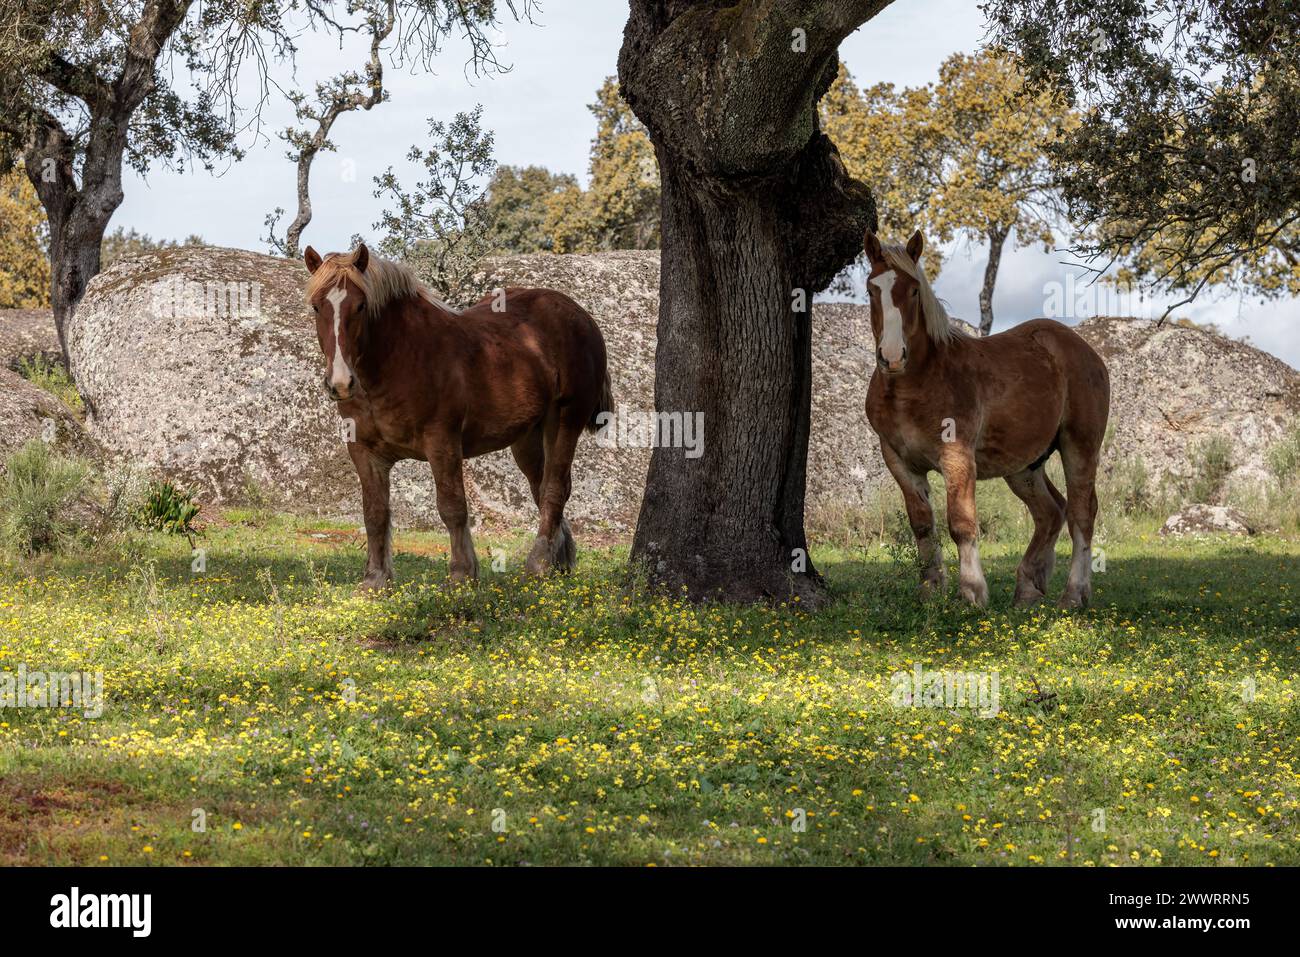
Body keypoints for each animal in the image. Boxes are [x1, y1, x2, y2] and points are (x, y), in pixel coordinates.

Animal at [302, 243, 612, 591]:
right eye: (316, 307)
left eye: (360, 306)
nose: (341, 383)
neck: (399, 358)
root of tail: (580, 316)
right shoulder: (364, 451)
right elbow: (375, 512)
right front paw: (375, 579)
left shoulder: (442, 442)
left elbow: (452, 507)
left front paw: (462, 574)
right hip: (528, 438)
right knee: (545, 488)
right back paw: (560, 561)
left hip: (565, 421)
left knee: (553, 490)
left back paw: (539, 564)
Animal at [862, 229, 1110, 608]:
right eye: (871, 289)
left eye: (914, 290)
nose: (892, 356)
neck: (912, 387)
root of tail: (1085, 351)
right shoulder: (899, 461)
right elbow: (922, 524)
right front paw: (931, 590)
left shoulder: (957, 457)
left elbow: (961, 523)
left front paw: (972, 591)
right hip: (1024, 467)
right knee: (1051, 511)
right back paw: (1028, 588)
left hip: (1079, 446)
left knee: (1082, 513)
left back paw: (1073, 594)